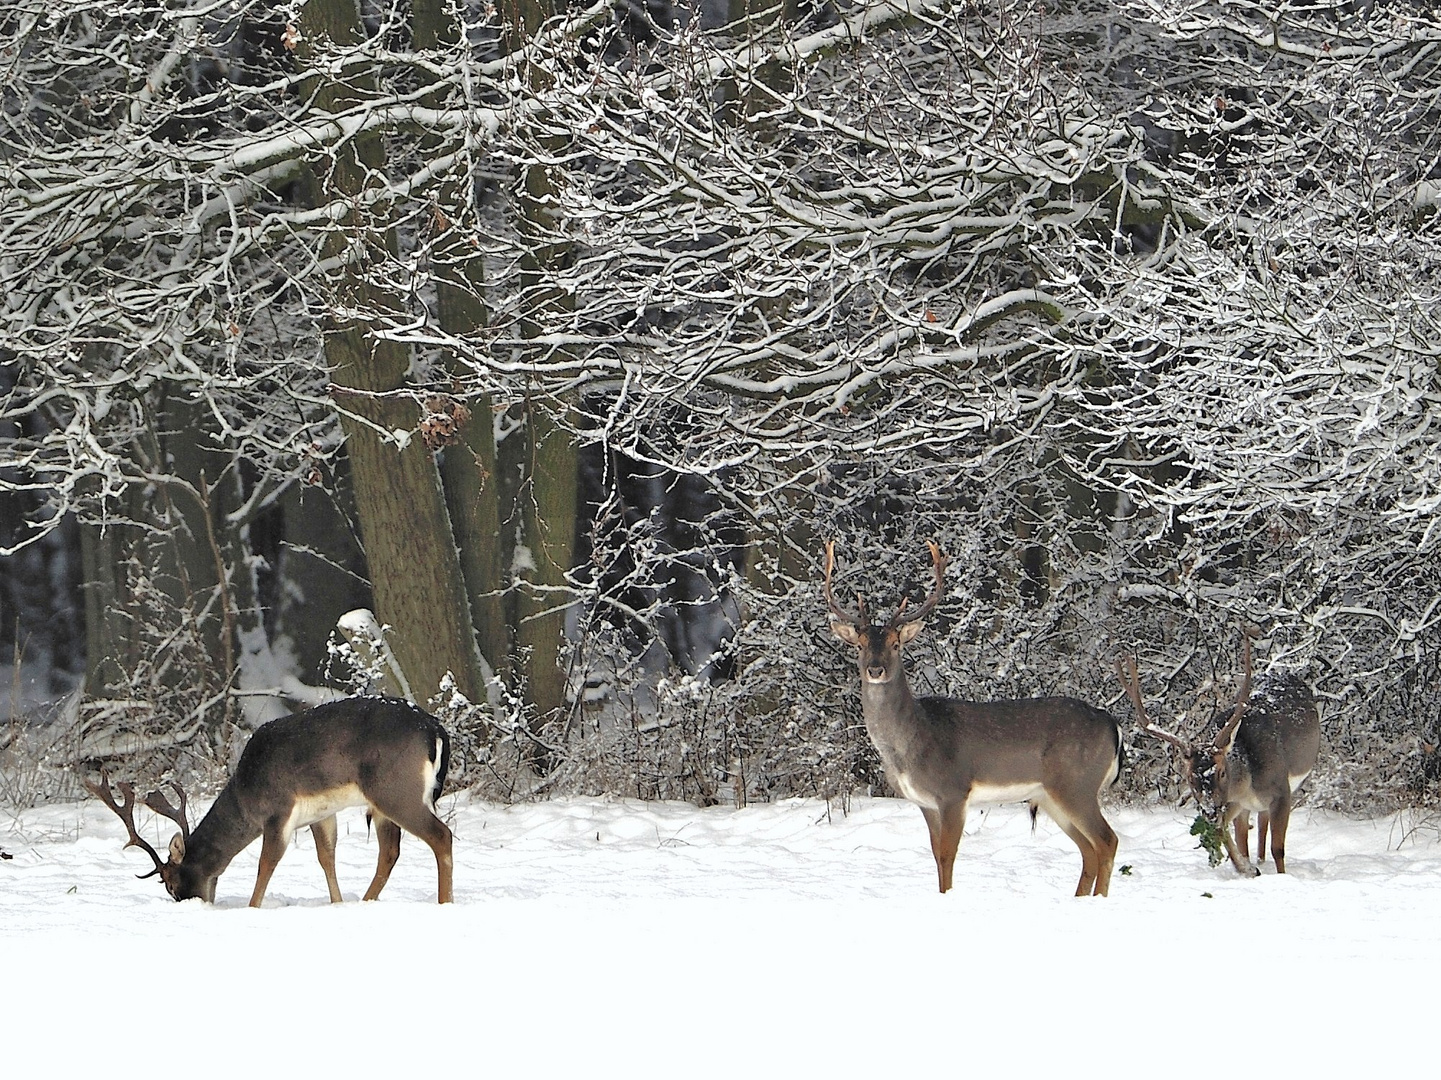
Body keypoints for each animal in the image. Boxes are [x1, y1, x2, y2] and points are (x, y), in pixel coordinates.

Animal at [82, 695, 449, 905]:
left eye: (170, 883)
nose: (188, 905)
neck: (246, 796)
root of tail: (434, 728)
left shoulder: (277, 811)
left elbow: (265, 865)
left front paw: (252, 907)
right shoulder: (319, 814)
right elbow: (325, 857)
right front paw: (337, 904)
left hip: (394, 788)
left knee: (441, 836)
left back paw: (445, 903)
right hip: (386, 799)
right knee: (390, 851)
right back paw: (366, 901)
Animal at [824, 542, 1123, 899]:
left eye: (896, 644)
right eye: (860, 645)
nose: (875, 669)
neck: (910, 743)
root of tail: (1111, 724)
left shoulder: (954, 791)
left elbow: (947, 854)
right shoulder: (925, 803)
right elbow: (936, 855)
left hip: (1078, 783)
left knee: (1107, 841)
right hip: (1051, 796)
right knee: (1088, 849)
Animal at [1118, 640, 1319, 876]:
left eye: (1222, 772)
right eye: (1189, 777)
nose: (1209, 810)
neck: (1249, 781)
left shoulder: (1281, 791)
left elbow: (1277, 848)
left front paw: (1279, 875)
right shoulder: (1231, 801)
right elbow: (1222, 832)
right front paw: (1247, 868)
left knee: (1260, 824)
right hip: (1240, 806)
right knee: (1248, 830)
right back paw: (1256, 862)